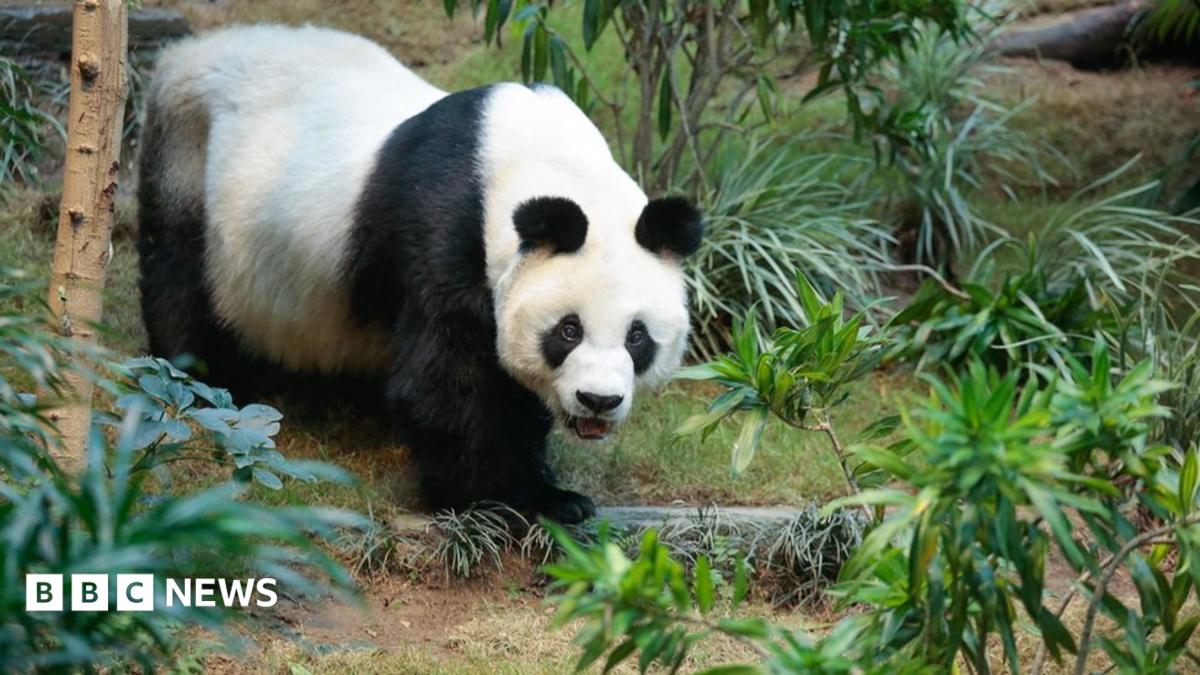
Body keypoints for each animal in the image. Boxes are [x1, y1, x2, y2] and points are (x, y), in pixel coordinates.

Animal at [136, 25, 703, 523]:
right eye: (568, 330)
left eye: (637, 337)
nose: (598, 401)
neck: (541, 160)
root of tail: (185, 52)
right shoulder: (445, 225)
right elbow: (448, 378)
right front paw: (519, 497)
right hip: (189, 160)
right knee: (182, 280)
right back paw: (206, 383)